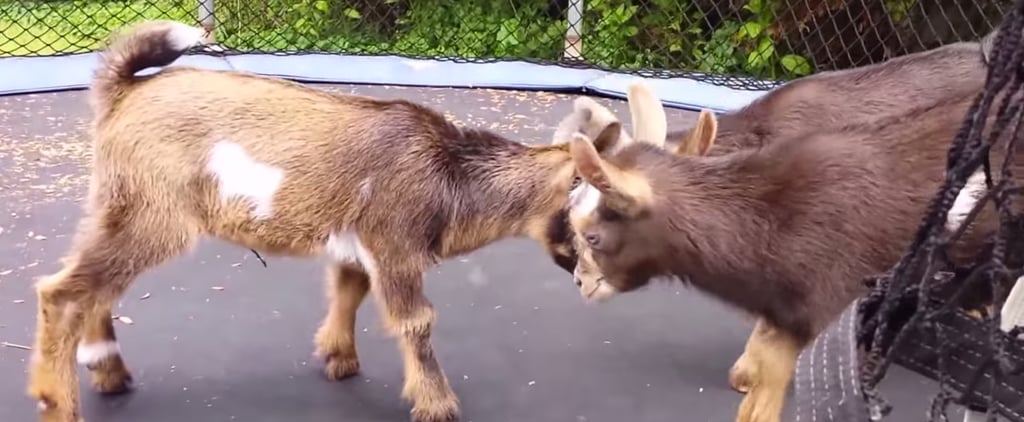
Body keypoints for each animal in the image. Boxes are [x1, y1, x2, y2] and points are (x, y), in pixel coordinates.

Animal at [24, 19, 651, 422]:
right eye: (596, 221)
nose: (591, 280)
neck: (449, 173)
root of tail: (121, 92)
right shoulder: (396, 243)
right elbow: (416, 321)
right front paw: (437, 404)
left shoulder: (358, 241)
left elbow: (349, 287)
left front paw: (339, 359)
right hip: (151, 213)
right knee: (64, 291)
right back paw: (59, 402)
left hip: (117, 206)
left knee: (99, 284)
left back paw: (108, 370)